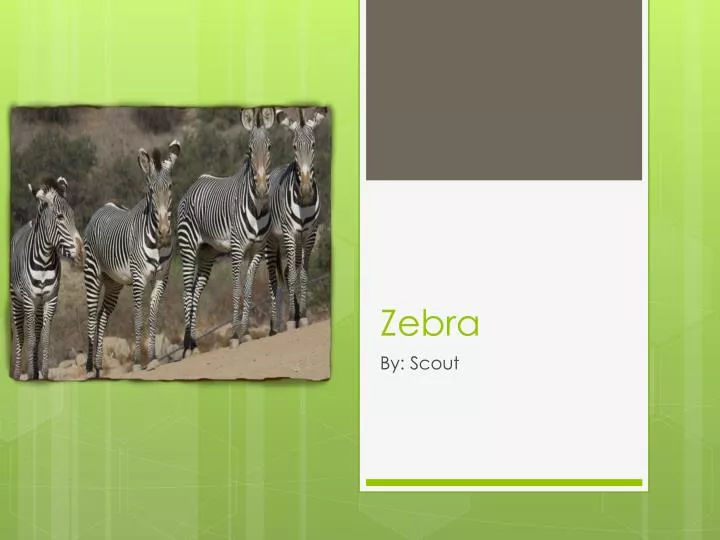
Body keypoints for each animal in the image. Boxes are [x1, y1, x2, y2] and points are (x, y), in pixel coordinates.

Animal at [10, 175, 84, 380]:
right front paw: (30, 372)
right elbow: (30, 338)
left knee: (36, 330)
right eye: (60, 217)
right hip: (16, 299)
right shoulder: (29, 300)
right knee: (20, 333)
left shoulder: (51, 299)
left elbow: (44, 336)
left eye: (73, 215)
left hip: (39, 303)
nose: (81, 251)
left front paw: (43, 371)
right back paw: (18, 373)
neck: (43, 262)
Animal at [83, 141, 181, 378]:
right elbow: (137, 318)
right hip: (92, 276)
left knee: (101, 316)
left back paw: (98, 367)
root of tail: (104, 206)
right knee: (91, 317)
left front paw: (153, 359)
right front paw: (137, 362)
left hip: (113, 283)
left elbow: (153, 317)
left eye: (170, 187)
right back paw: (89, 368)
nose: (164, 233)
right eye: (150, 190)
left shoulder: (161, 279)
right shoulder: (138, 279)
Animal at [177, 107, 276, 358]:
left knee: (195, 292)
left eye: (269, 147)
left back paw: (193, 344)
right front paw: (234, 336)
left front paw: (247, 334)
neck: (257, 208)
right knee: (186, 293)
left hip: (207, 253)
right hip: (188, 249)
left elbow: (248, 290)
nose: (262, 188)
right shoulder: (237, 249)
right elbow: (236, 289)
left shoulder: (256, 251)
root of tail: (192, 187)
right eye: (249, 150)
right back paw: (186, 347)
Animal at [264, 107, 327, 335]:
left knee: (287, 269)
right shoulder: (290, 233)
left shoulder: (310, 234)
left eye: (314, 145)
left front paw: (303, 315)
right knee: (274, 277)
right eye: (293, 147)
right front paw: (291, 319)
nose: (307, 188)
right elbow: (291, 275)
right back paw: (274, 326)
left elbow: (304, 273)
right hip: (271, 240)